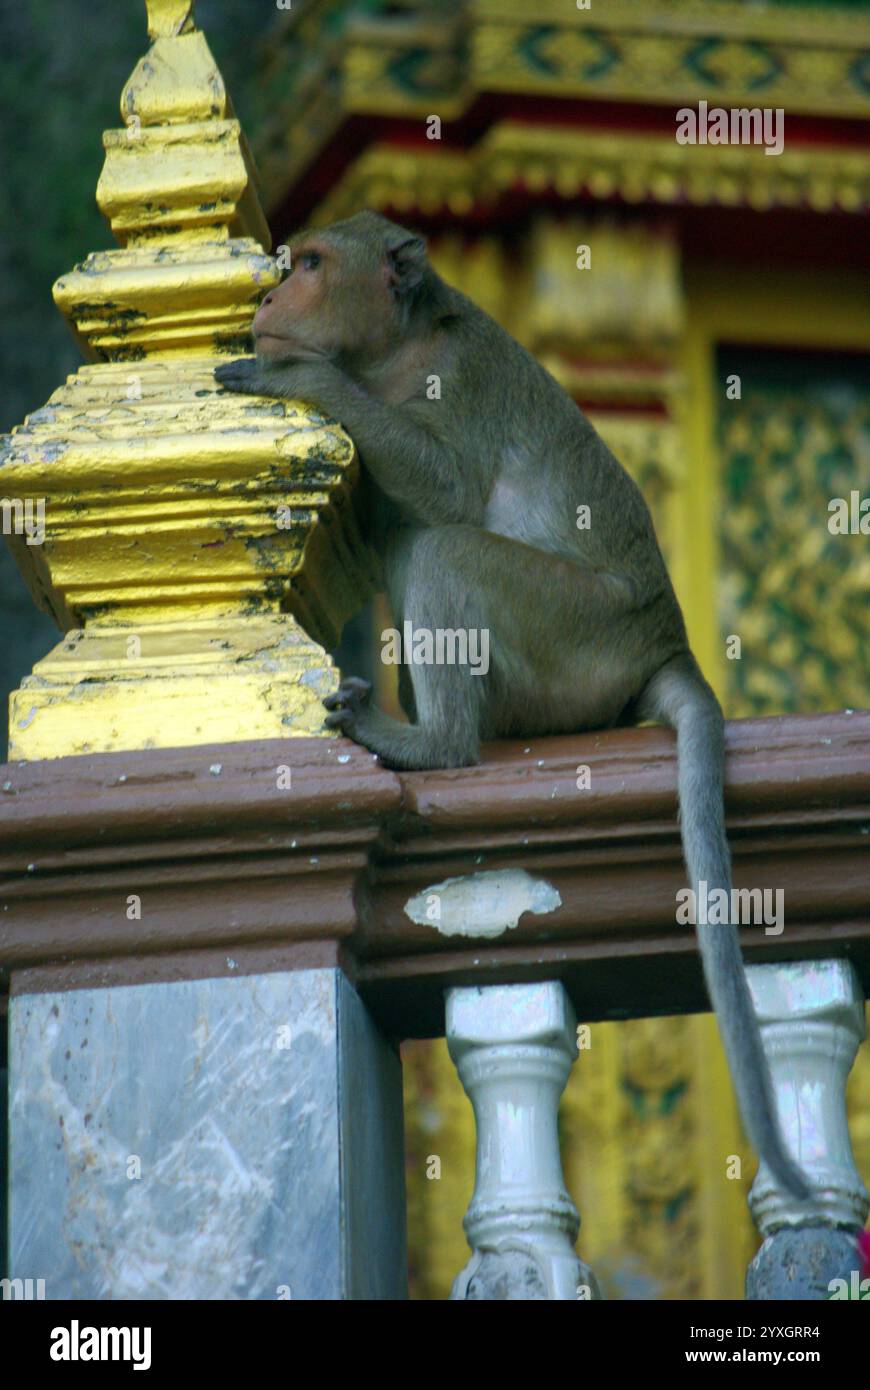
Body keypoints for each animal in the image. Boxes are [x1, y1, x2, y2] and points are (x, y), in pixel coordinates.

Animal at [215, 209, 811, 1202]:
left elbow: (447, 488)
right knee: (424, 547)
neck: (398, 345)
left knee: (448, 549)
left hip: (578, 633)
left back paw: (435, 744)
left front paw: (299, 376)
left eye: (309, 265)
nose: (268, 301)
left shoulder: (454, 380)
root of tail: (664, 642)